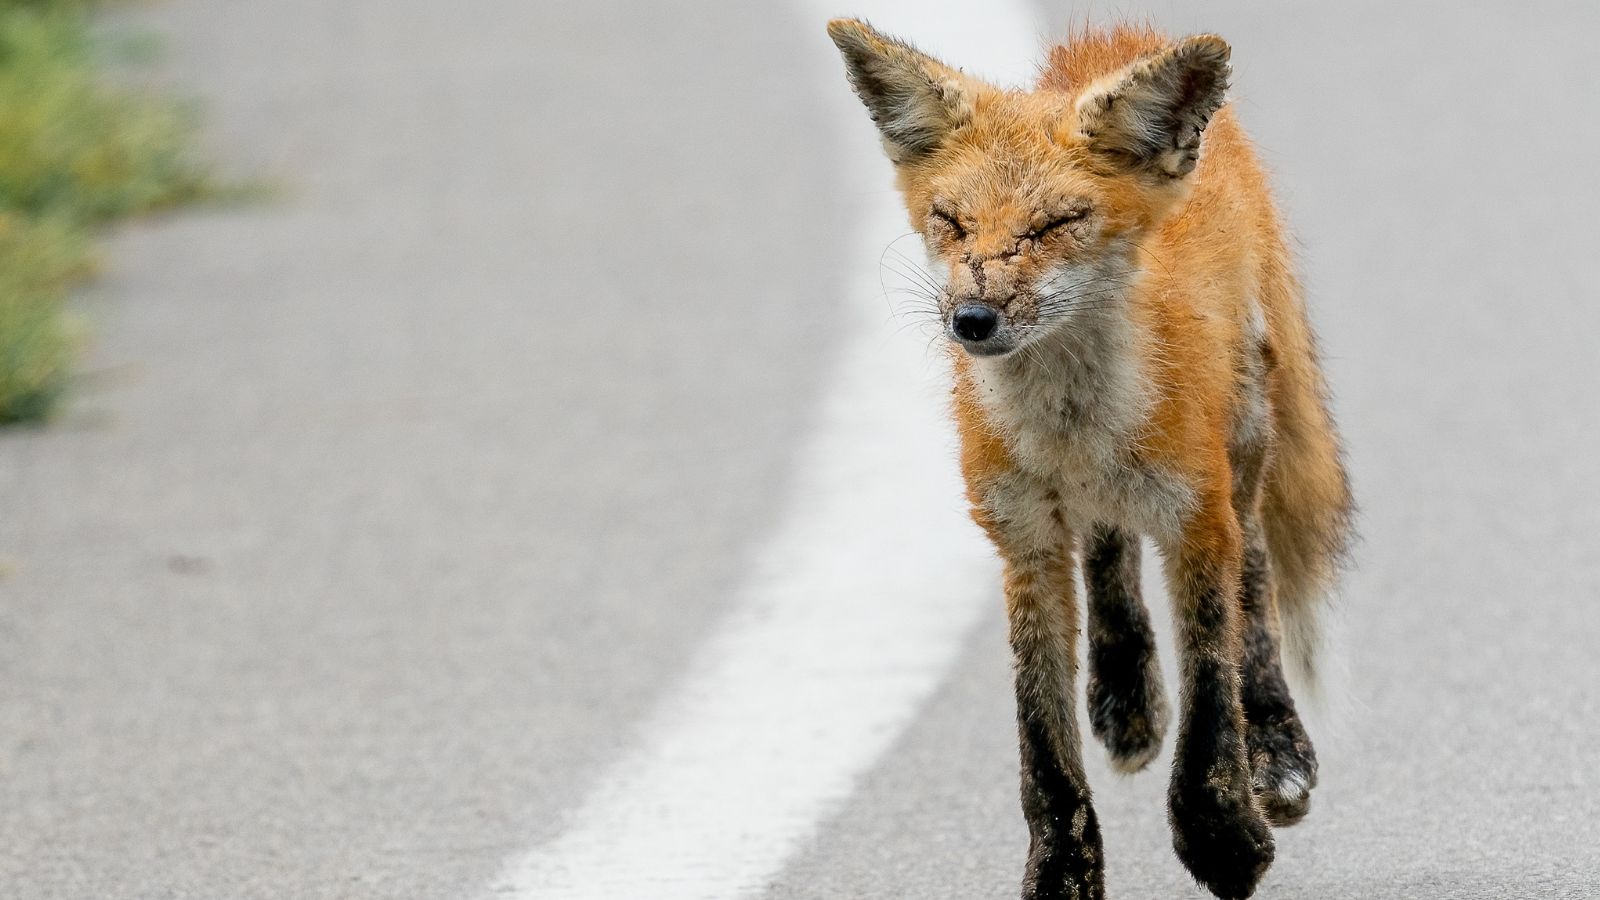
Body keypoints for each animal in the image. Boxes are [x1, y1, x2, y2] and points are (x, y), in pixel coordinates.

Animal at [826, 18, 1354, 900]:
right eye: (952, 221)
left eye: (1054, 224)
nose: (972, 318)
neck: (1072, 435)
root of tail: (1113, 40)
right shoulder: (1024, 543)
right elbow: (1042, 743)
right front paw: (1062, 871)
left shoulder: (1195, 519)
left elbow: (1212, 697)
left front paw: (1221, 835)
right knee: (1109, 549)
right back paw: (1126, 690)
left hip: (1245, 443)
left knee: (1254, 592)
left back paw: (1276, 743)